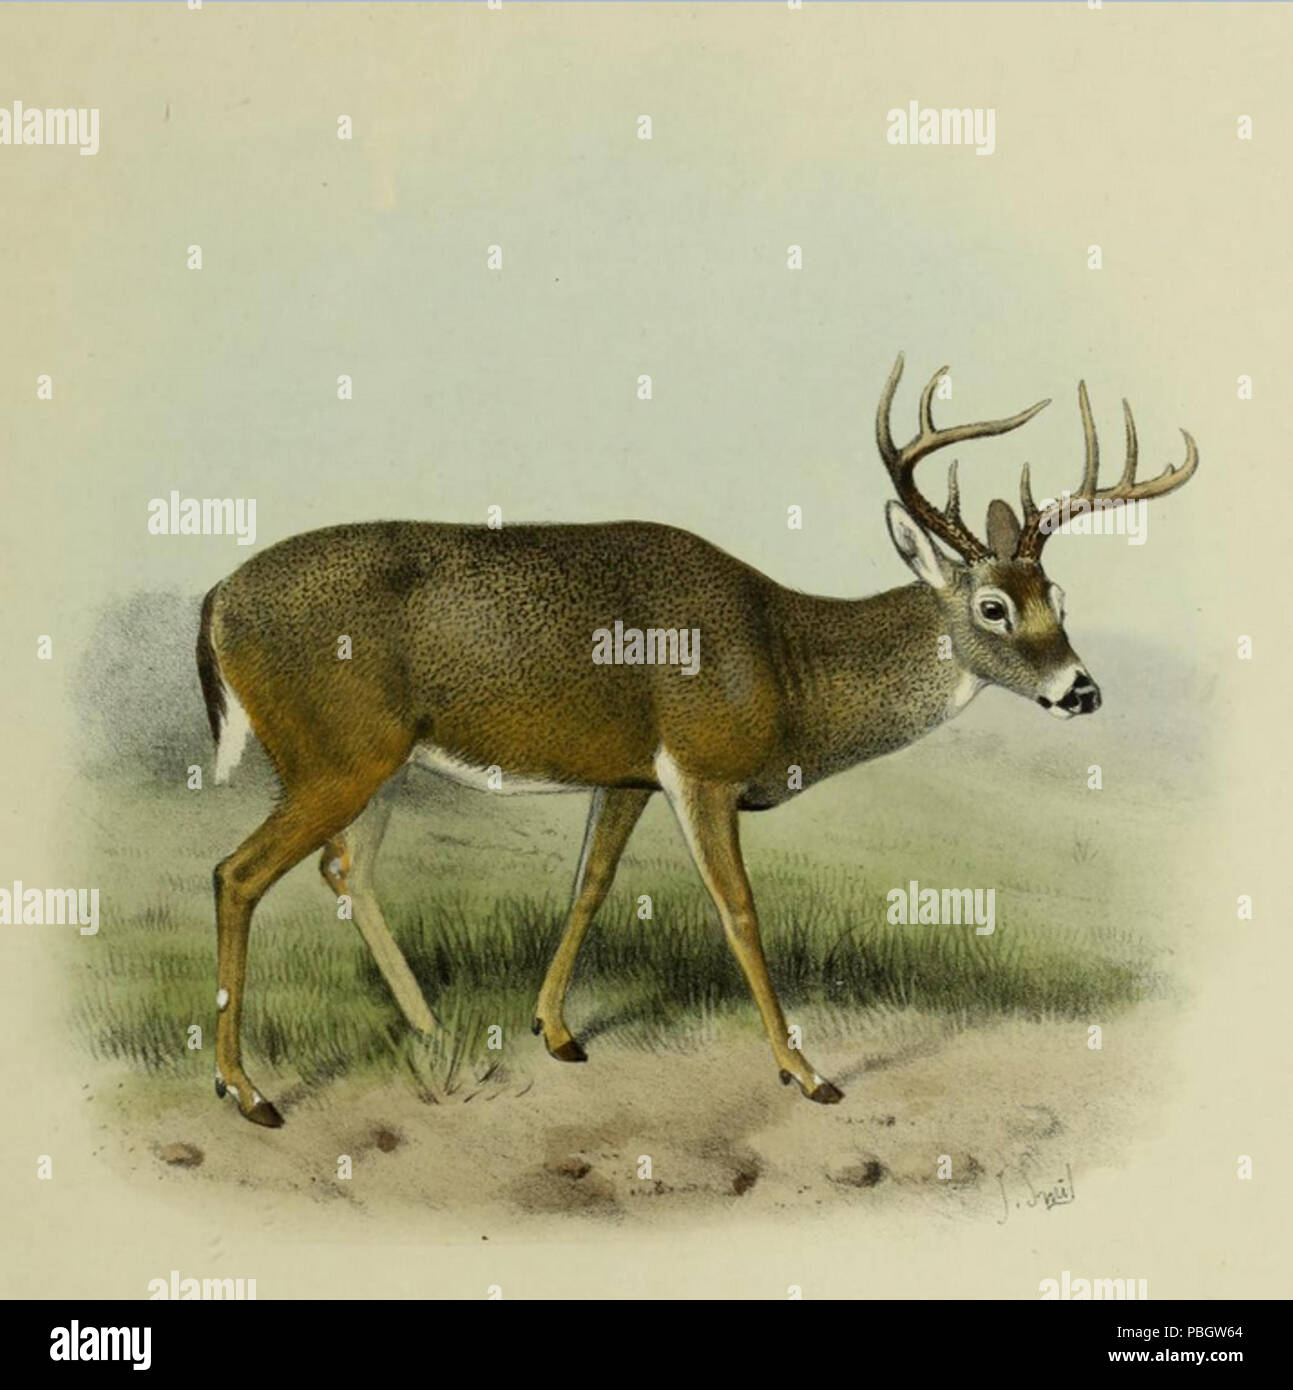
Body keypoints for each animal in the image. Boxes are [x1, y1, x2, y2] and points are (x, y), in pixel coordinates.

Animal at [195, 355, 1198, 1126]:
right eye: (992, 606)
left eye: (1056, 598)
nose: (1082, 690)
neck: (786, 663)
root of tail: (215, 602)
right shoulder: (705, 768)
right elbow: (739, 910)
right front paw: (806, 1071)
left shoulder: (630, 776)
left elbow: (590, 886)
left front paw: (555, 1031)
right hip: (337, 753)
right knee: (237, 873)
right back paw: (247, 1091)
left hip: (370, 760)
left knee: (342, 869)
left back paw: (430, 1027)